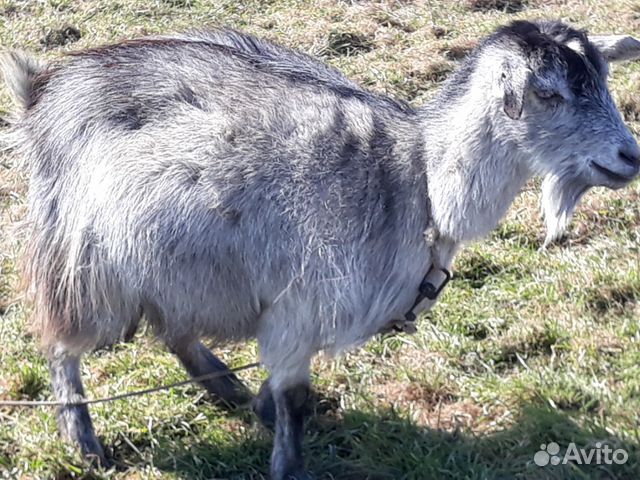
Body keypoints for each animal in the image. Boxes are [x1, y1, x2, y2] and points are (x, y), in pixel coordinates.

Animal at [2, 20, 640, 479]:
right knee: (61, 346)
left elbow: (283, 391)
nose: (630, 156)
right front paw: (288, 464)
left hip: (173, 264)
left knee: (173, 327)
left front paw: (259, 406)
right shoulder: (304, 301)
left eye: (604, 83)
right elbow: (295, 399)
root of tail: (43, 92)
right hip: (87, 263)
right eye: (547, 92)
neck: (419, 180)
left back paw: (225, 386)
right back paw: (84, 440)